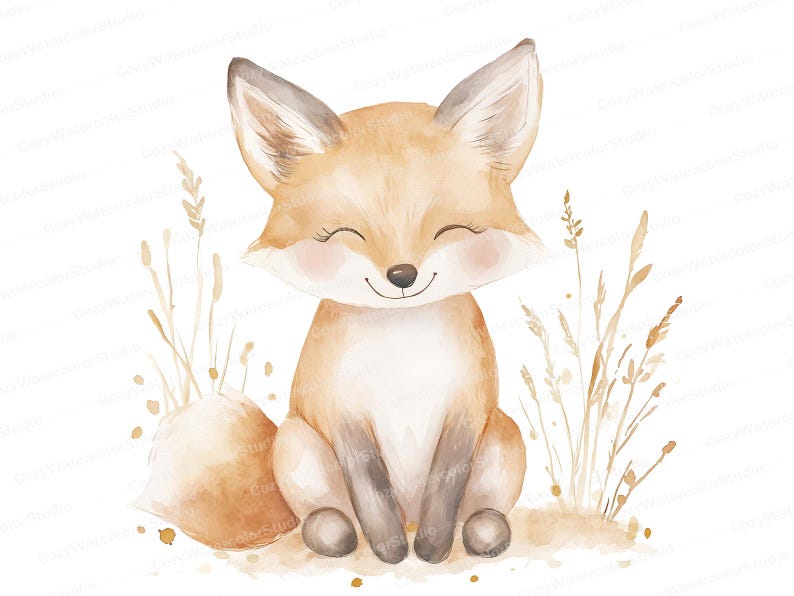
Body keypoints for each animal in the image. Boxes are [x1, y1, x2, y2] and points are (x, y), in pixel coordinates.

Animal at [226, 39, 544, 564]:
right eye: (345, 234)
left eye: (447, 229)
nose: (402, 275)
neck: (402, 352)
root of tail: (408, 509)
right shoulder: (342, 414)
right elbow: (371, 493)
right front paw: (392, 552)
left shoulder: (467, 410)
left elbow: (446, 491)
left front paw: (431, 551)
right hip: (297, 444)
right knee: (330, 514)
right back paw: (332, 532)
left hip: (504, 438)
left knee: (476, 510)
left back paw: (484, 531)